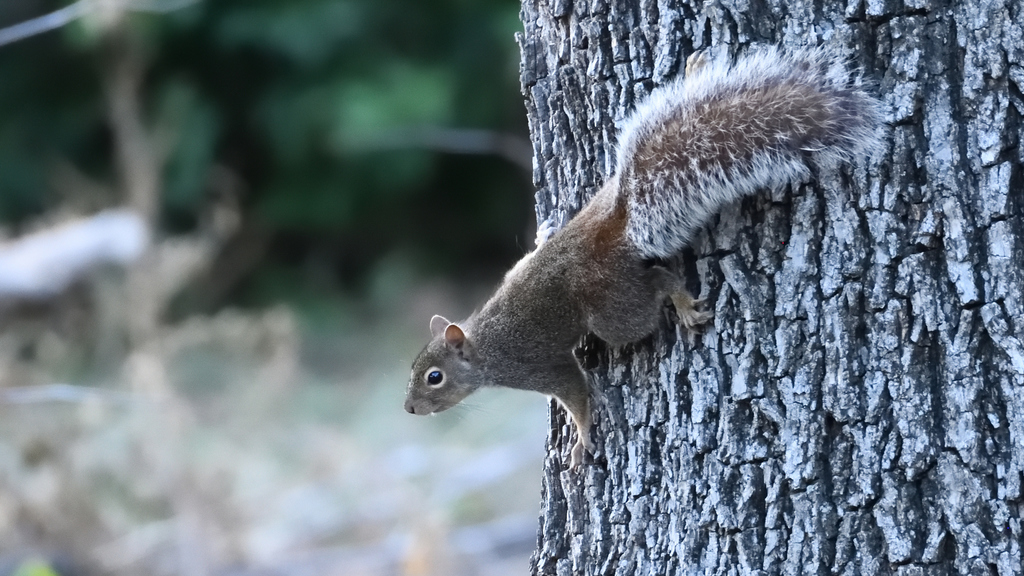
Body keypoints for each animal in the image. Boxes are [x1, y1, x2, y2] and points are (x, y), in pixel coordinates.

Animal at [404, 46, 883, 467]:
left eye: (434, 377)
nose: (408, 409)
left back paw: (684, 304)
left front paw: (581, 442)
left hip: (612, 312)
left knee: (657, 284)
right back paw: (694, 74)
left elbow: (576, 394)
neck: (482, 344)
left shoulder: (537, 365)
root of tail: (613, 227)